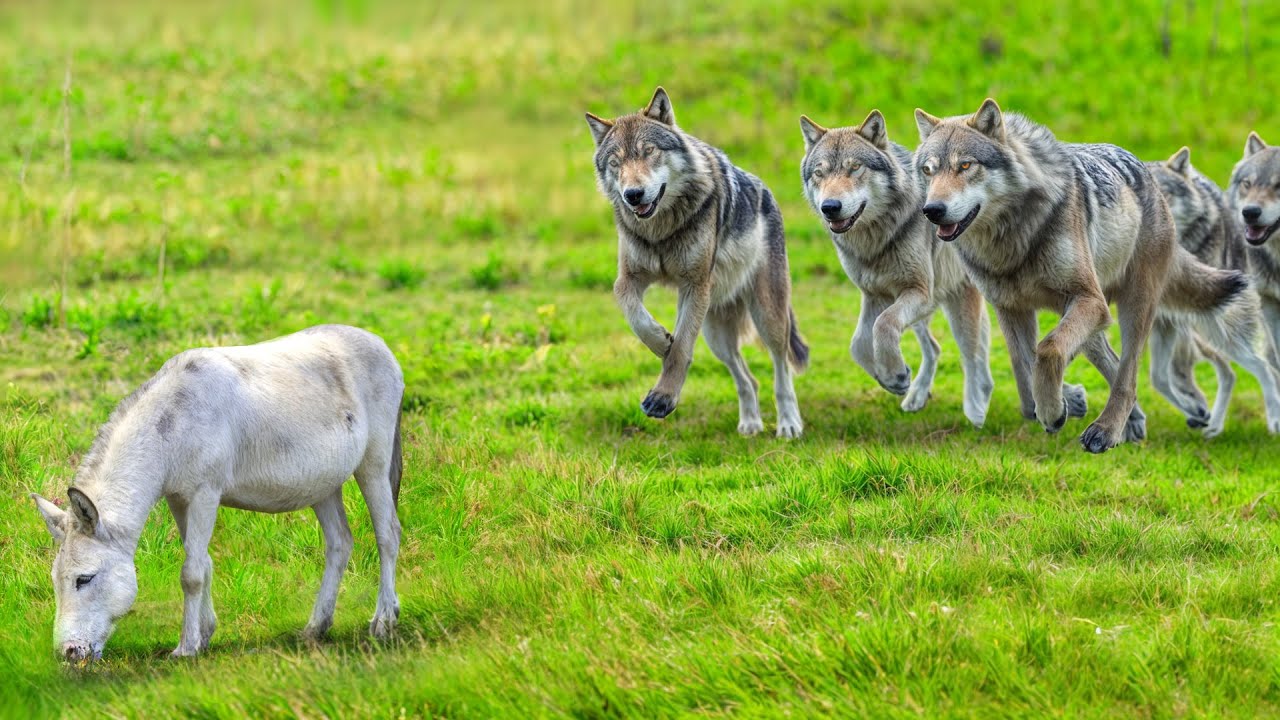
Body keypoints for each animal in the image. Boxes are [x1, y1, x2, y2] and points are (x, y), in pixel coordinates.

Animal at [585, 87, 807, 437]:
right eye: (615, 162)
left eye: (649, 151)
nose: (633, 194)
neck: (661, 230)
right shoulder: (628, 279)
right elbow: (637, 318)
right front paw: (661, 341)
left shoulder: (694, 284)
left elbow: (681, 350)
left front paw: (662, 397)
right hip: (717, 335)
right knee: (748, 379)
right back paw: (750, 424)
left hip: (767, 316)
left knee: (780, 368)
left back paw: (789, 424)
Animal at [798, 110, 993, 427]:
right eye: (819, 173)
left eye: (855, 168)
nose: (830, 206)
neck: (876, 241)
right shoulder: (875, 295)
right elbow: (858, 344)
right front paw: (893, 379)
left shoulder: (919, 292)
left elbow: (883, 325)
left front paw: (895, 373)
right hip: (924, 311)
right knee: (936, 348)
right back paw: (916, 397)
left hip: (957, 305)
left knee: (973, 358)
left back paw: (977, 411)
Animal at [914, 99, 1259, 452]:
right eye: (928, 171)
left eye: (965, 166)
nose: (932, 210)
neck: (1013, 242)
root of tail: (1148, 174)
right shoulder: (1010, 308)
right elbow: (1024, 367)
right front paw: (1065, 402)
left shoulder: (1087, 300)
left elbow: (1047, 351)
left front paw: (1053, 411)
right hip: (1090, 317)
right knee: (1110, 360)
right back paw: (1131, 423)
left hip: (1128, 307)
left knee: (1127, 376)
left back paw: (1106, 431)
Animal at [1146, 147, 1280, 437]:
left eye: (1165, 194)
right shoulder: (1162, 321)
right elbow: (1157, 379)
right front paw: (1195, 410)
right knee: (1228, 372)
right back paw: (1210, 422)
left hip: (1211, 330)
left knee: (1256, 366)